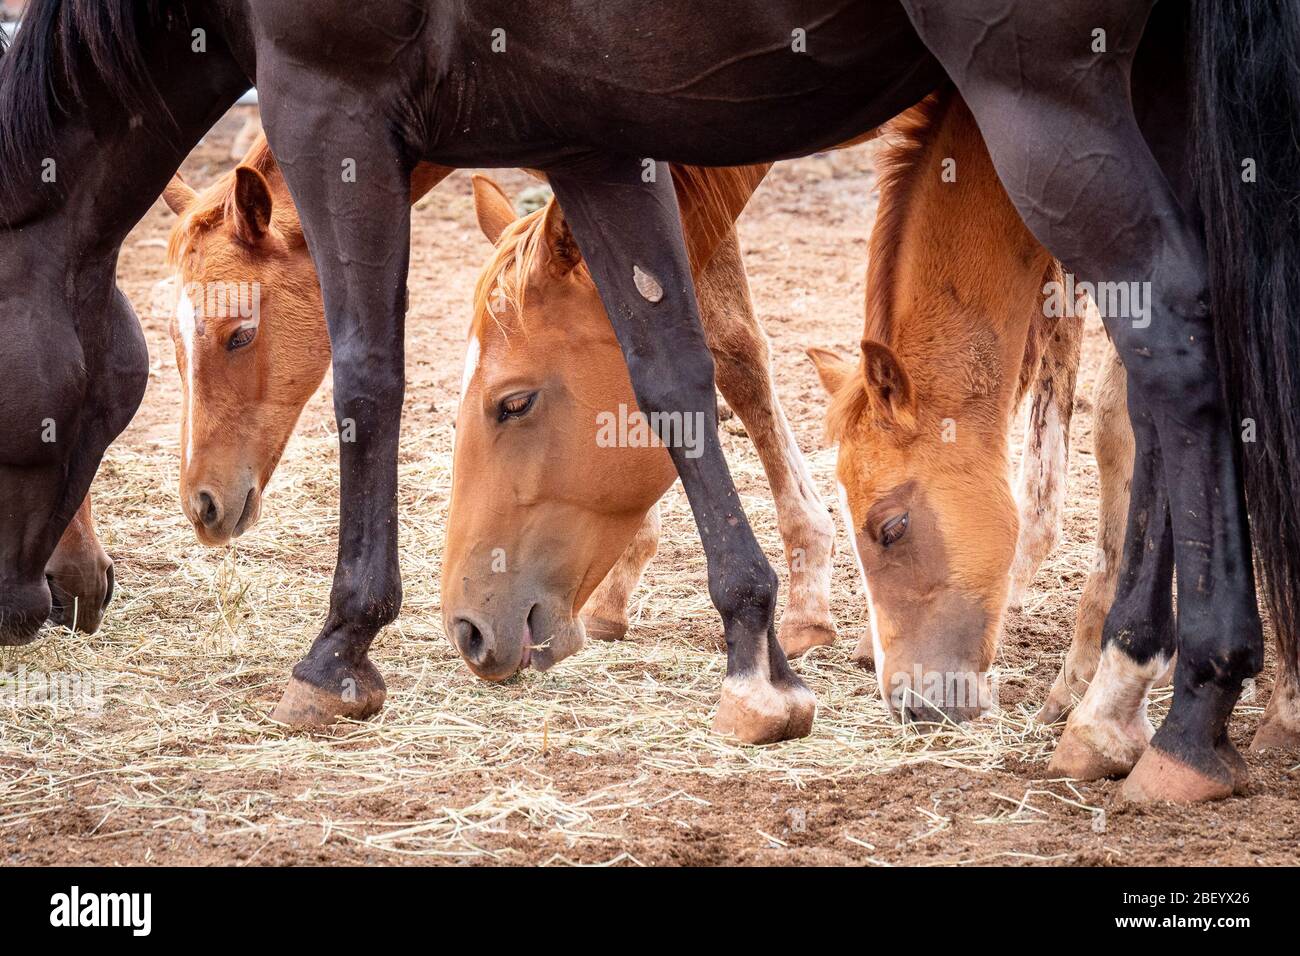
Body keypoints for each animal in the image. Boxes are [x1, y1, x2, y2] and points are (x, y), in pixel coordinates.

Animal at [1, 1, 1295, 803]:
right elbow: (682, 369)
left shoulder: (333, 103)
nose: (202, 507)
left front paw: (339, 650)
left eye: (232, 333)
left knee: (1176, 352)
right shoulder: (595, 134)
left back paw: (1176, 708)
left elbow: (374, 370)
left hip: (1049, 99)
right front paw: (752, 642)